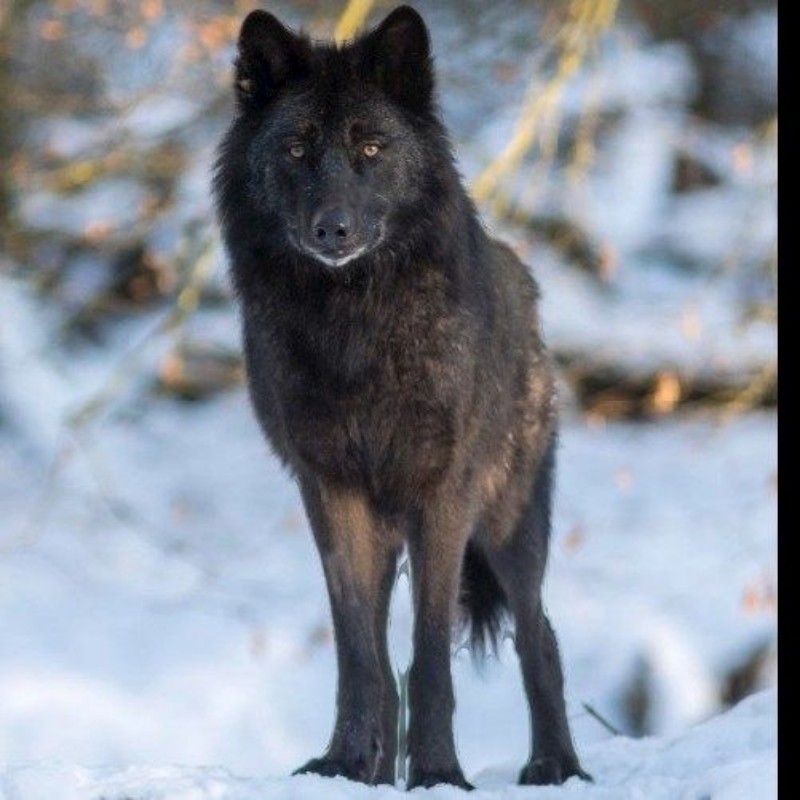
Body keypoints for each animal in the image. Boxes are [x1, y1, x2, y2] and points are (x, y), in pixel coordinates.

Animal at [213, 5, 589, 790]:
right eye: (297, 148)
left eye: (371, 148)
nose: (332, 228)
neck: (354, 325)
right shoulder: (331, 491)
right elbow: (364, 658)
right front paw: (344, 765)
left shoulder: (441, 494)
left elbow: (430, 660)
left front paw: (440, 773)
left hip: (508, 526)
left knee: (539, 636)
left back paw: (555, 766)